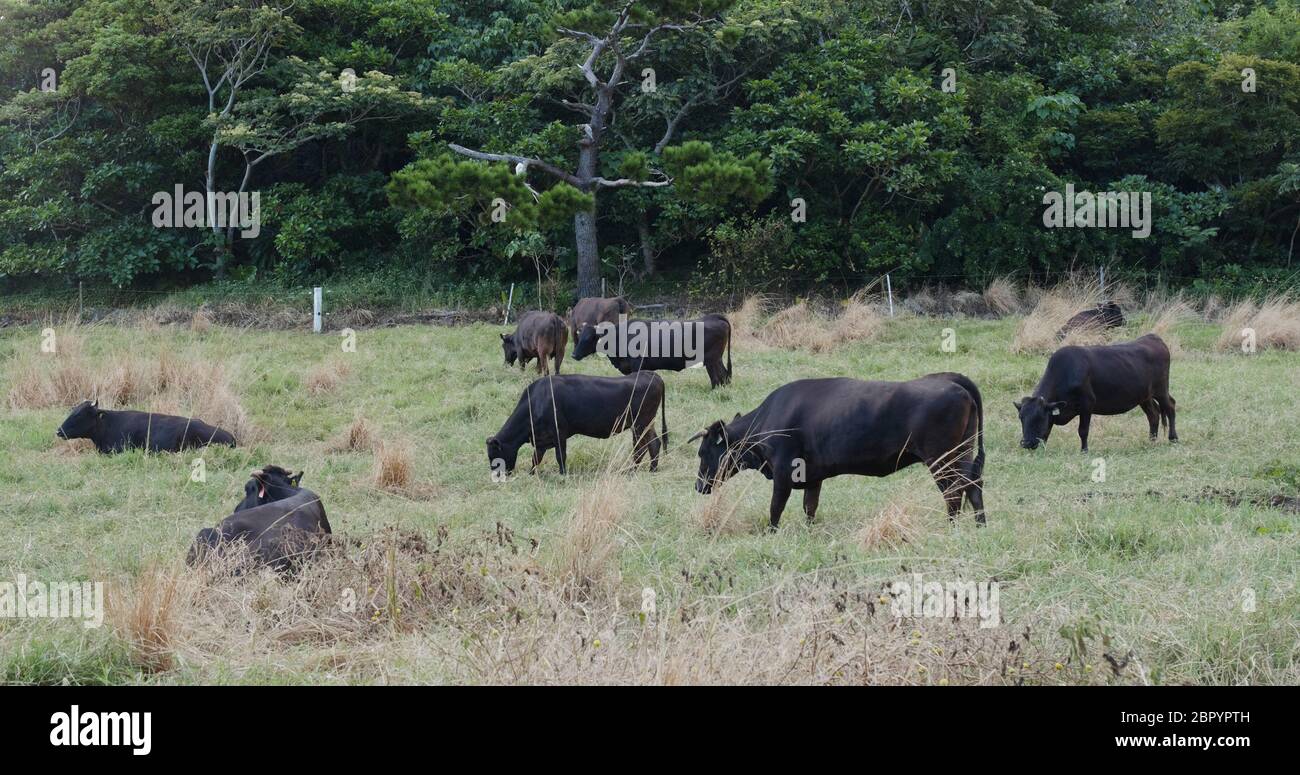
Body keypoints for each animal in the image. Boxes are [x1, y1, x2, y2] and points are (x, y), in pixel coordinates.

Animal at [486, 373, 666, 476]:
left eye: (493, 455)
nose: (497, 475)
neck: (537, 401)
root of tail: (652, 375)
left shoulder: (559, 433)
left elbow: (560, 456)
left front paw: (563, 474)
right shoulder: (541, 439)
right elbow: (535, 458)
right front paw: (531, 474)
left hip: (641, 423)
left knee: (642, 447)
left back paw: (636, 470)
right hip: (645, 423)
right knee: (652, 444)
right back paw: (649, 469)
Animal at [571, 313, 733, 388]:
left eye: (588, 338)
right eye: (579, 336)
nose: (573, 354)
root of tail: (713, 317)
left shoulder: (637, 365)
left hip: (712, 360)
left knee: (719, 376)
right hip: (715, 359)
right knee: (724, 376)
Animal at [691, 373, 986, 530]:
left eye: (704, 453)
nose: (698, 487)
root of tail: (950, 380)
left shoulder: (784, 472)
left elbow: (776, 507)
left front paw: (771, 533)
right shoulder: (812, 477)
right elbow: (809, 507)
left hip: (941, 459)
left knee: (954, 492)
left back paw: (951, 527)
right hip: (963, 453)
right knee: (973, 486)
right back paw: (979, 526)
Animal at [1015, 333, 1177, 453]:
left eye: (1039, 418)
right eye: (1021, 418)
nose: (1026, 443)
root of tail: (1153, 337)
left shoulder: (1087, 404)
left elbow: (1083, 430)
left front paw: (1084, 450)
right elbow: (1048, 430)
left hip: (1161, 389)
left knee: (1170, 407)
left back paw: (1173, 438)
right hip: (1144, 396)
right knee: (1153, 414)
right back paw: (1152, 441)